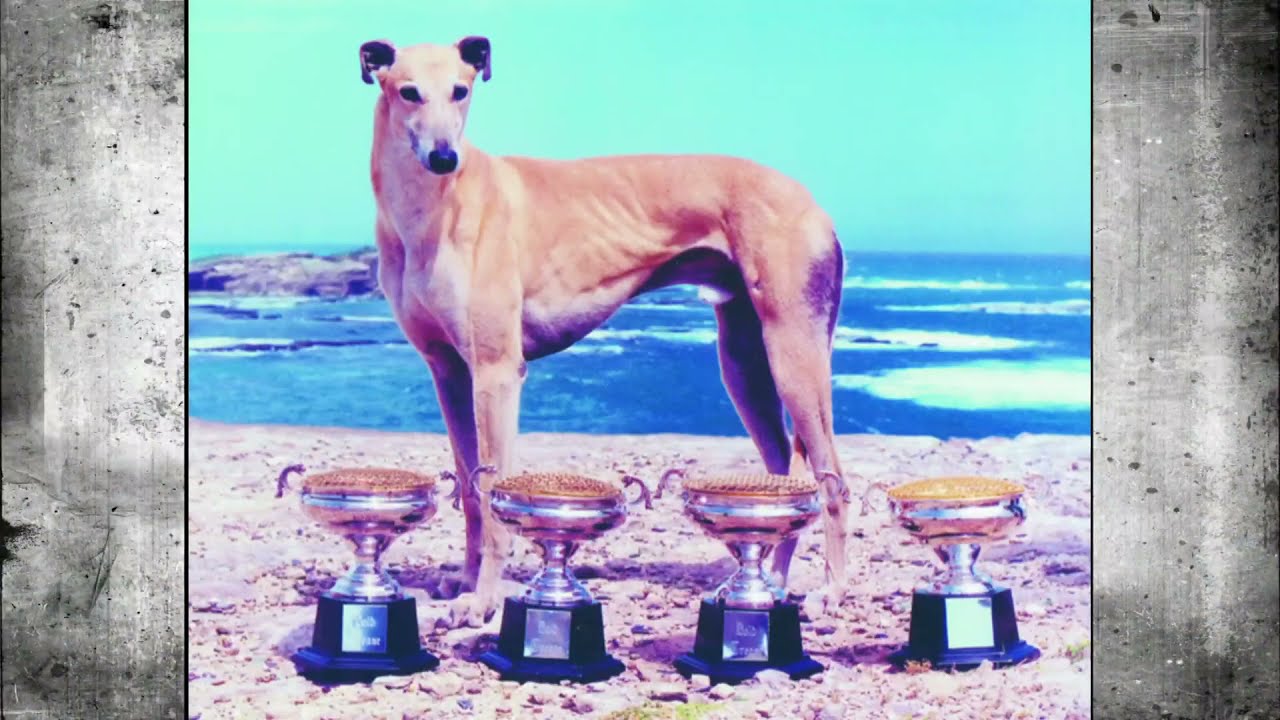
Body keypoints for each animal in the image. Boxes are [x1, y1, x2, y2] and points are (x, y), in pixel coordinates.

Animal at [359, 36, 852, 628]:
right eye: (408, 92)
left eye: (461, 90)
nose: (443, 157)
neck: (434, 210)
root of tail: (816, 206)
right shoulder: (449, 373)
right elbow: (472, 490)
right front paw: (464, 582)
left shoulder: (496, 372)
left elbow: (494, 491)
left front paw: (482, 600)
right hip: (743, 362)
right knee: (784, 476)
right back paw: (770, 584)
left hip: (793, 354)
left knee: (831, 478)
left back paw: (832, 590)